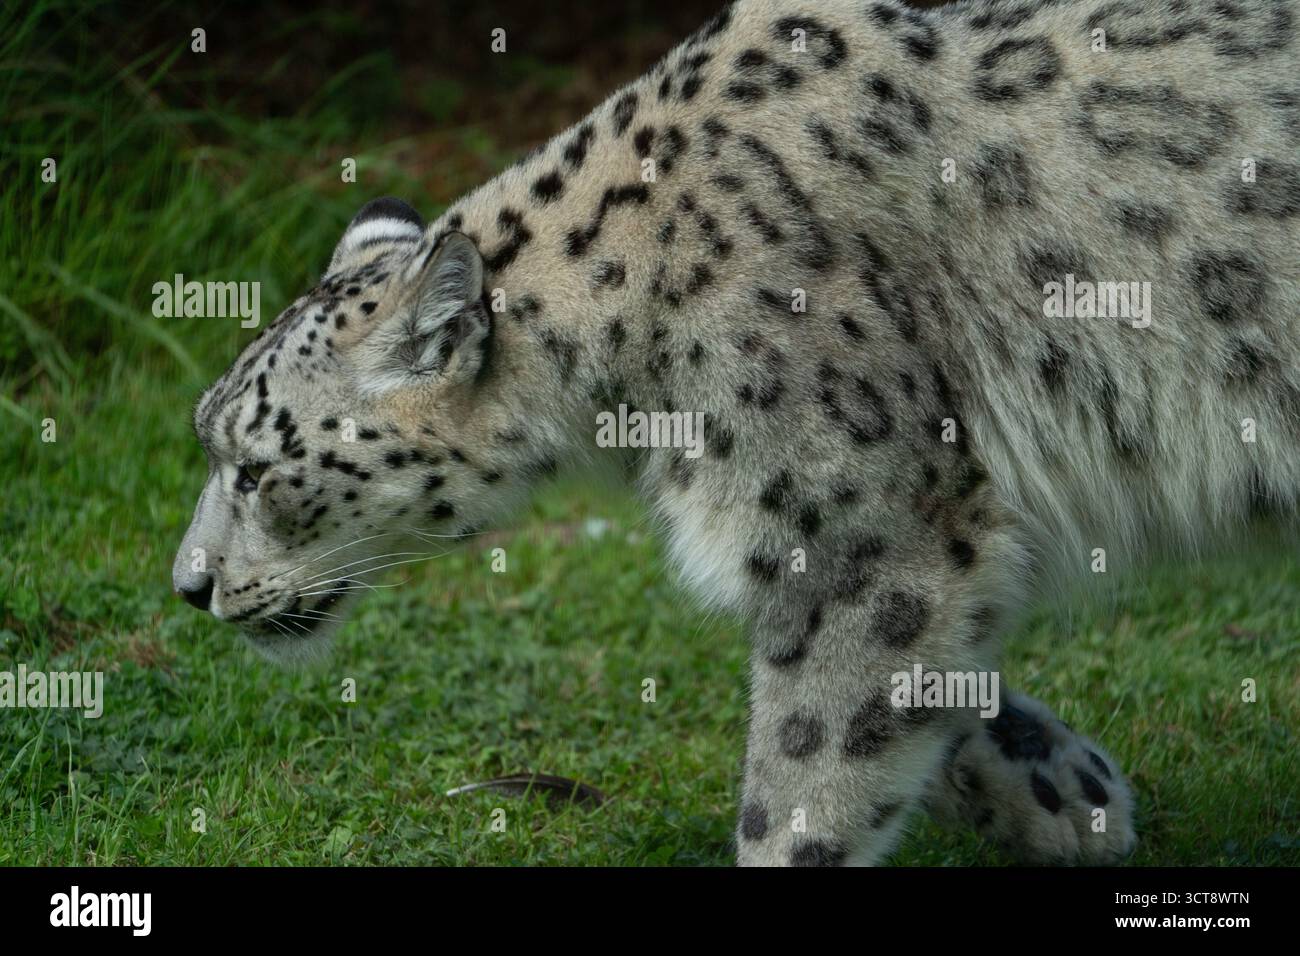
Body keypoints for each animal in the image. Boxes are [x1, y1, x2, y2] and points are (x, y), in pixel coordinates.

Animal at [172, 0, 1300, 866]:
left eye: (258, 469)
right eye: (210, 440)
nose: (188, 585)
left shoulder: (865, 529)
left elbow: (806, 763)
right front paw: (1063, 787)